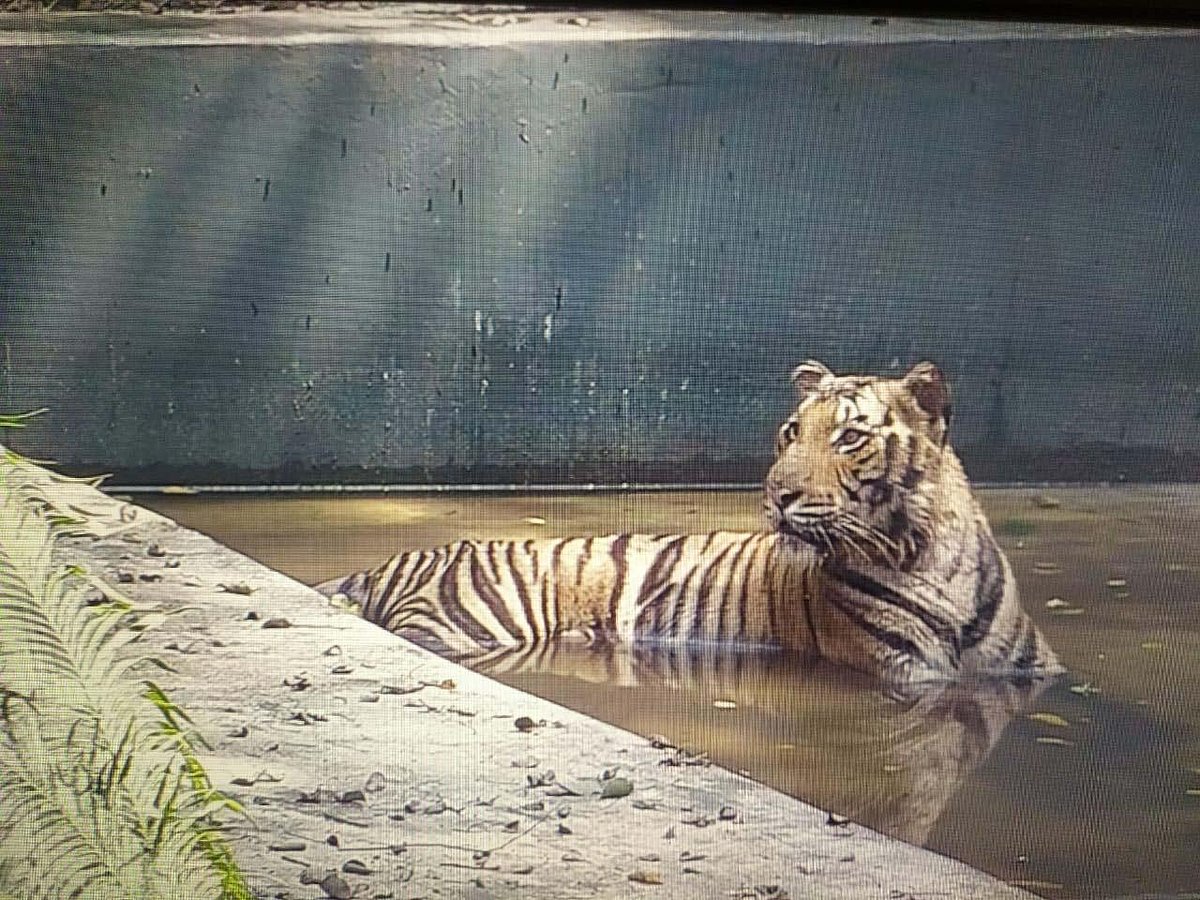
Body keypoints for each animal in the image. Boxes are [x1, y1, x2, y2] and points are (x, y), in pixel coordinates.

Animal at [317, 360, 1063, 686]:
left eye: (848, 437)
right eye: (791, 432)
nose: (778, 494)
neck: (934, 557)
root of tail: (384, 564)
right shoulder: (906, 673)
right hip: (462, 623)